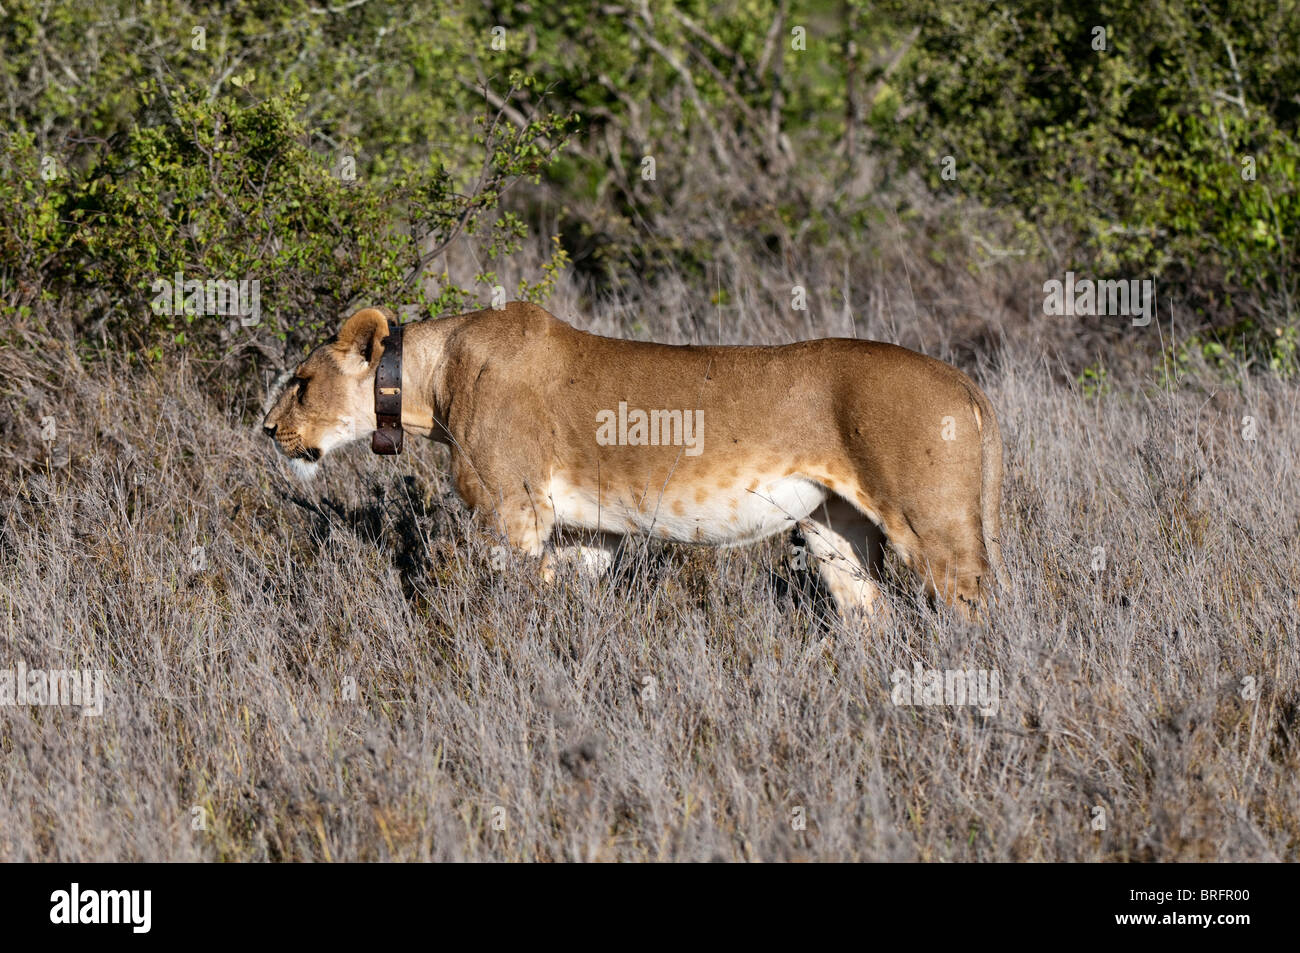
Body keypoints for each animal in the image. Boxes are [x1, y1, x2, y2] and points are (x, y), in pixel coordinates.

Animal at [263, 302, 1008, 619]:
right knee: (867, 611)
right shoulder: (584, 531)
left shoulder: (514, 512)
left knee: (975, 608)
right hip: (835, 531)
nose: (268, 429)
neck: (434, 377)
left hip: (933, 527)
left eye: (300, 380)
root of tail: (965, 381)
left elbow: (507, 602)